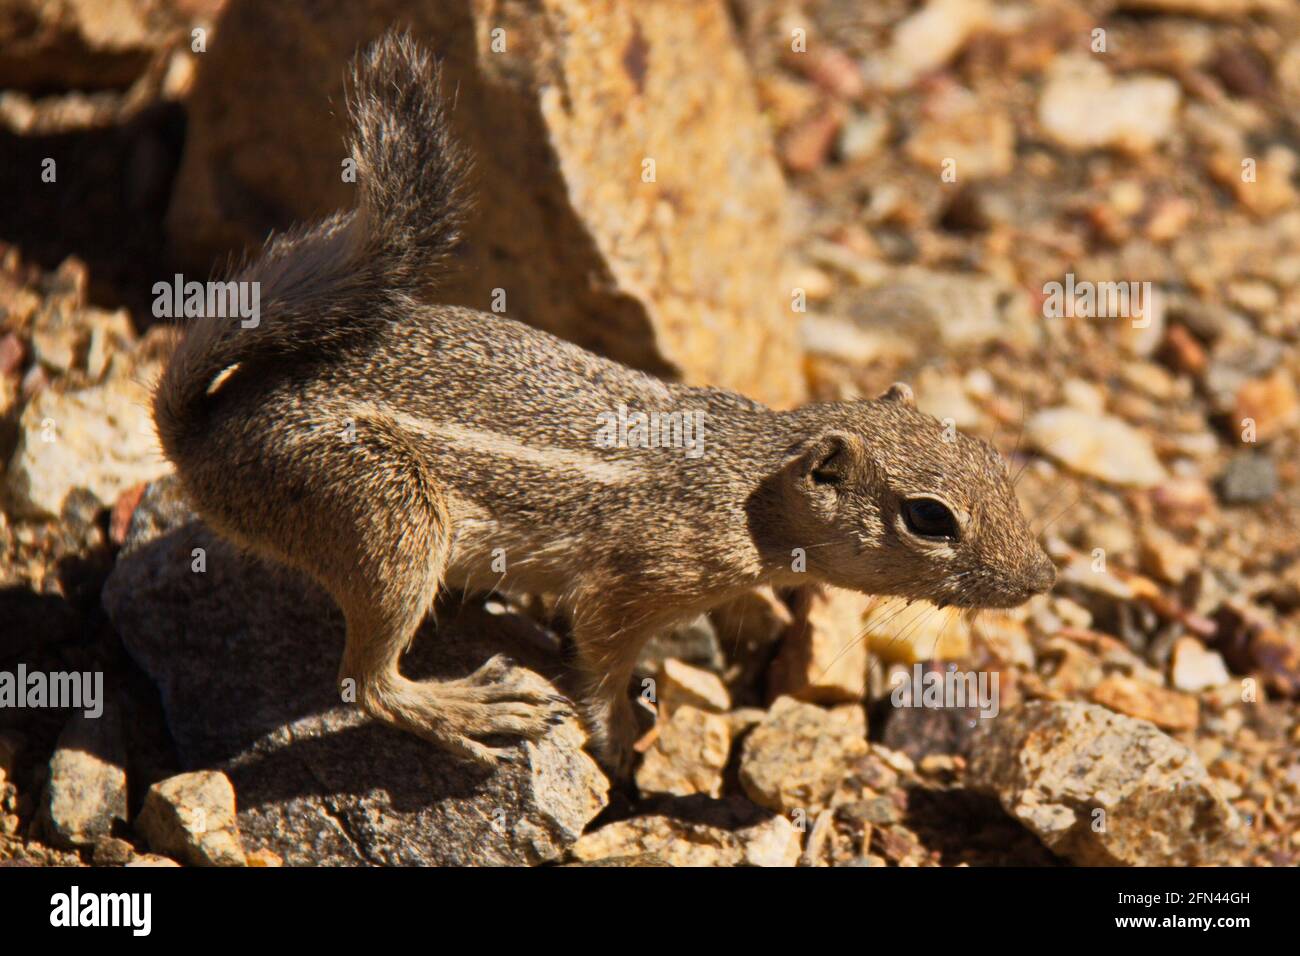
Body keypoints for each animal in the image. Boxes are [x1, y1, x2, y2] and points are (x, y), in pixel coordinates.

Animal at [154, 31, 1056, 777]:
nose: (1041, 577)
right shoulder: (635, 582)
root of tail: (202, 436)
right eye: (930, 517)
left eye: (990, 457)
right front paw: (619, 739)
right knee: (366, 684)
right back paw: (471, 707)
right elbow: (600, 656)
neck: (750, 485)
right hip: (391, 522)